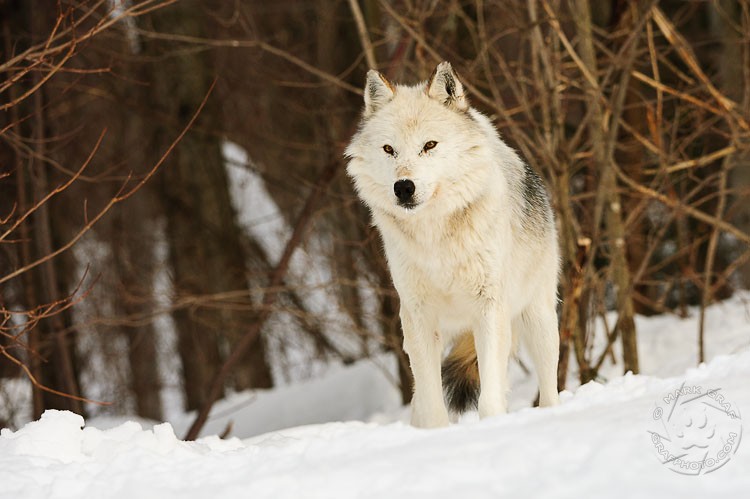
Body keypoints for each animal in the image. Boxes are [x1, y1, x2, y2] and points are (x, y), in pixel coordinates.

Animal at [345, 62, 560, 428]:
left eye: (429, 145)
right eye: (389, 149)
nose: (403, 187)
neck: (436, 236)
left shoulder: (490, 308)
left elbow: (490, 396)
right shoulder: (417, 317)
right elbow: (431, 403)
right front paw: (436, 433)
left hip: (538, 319)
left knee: (549, 388)